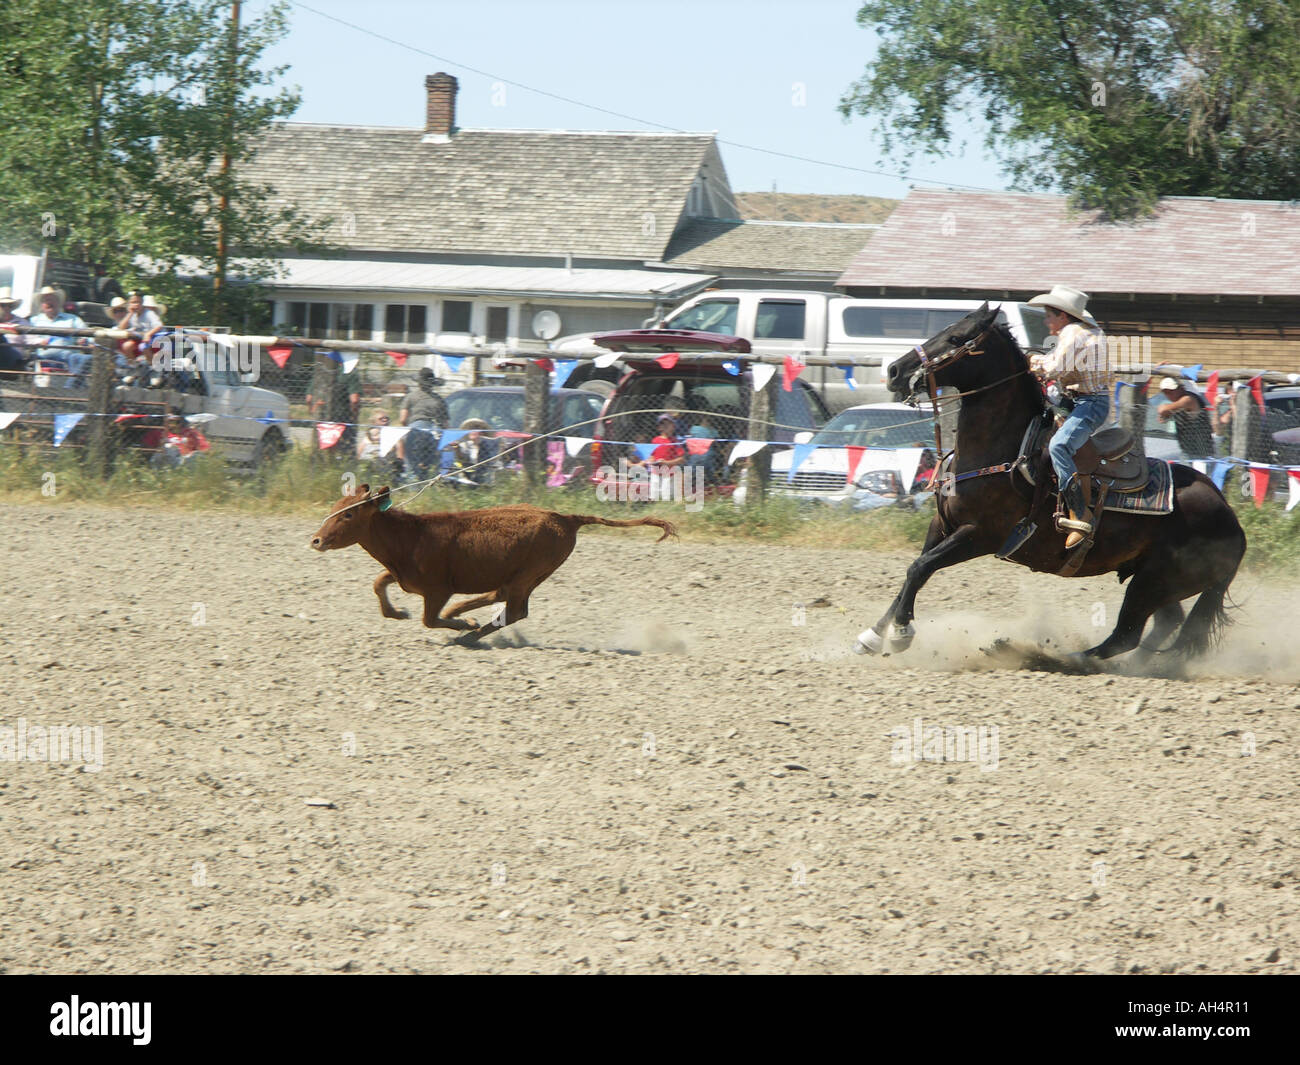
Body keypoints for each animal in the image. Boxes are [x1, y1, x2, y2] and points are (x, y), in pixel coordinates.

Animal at [310, 485, 677, 644]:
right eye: (336, 506)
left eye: (349, 514)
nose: (316, 540)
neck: (411, 535)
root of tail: (565, 518)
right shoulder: (402, 575)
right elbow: (379, 583)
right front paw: (397, 612)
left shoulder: (436, 590)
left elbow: (430, 620)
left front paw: (460, 625)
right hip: (529, 575)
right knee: (506, 601)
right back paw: (467, 619)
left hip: (529, 573)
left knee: (512, 609)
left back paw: (467, 632)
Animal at [855, 303, 1246, 661]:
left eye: (955, 338)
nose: (894, 370)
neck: (1004, 450)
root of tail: (1229, 515)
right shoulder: (942, 525)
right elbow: (914, 570)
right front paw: (873, 635)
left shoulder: (978, 534)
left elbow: (921, 567)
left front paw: (900, 634)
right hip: (1155, 580)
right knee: (1162, 626)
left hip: (1154, 582)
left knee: (1125, 636)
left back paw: (1053, 657)